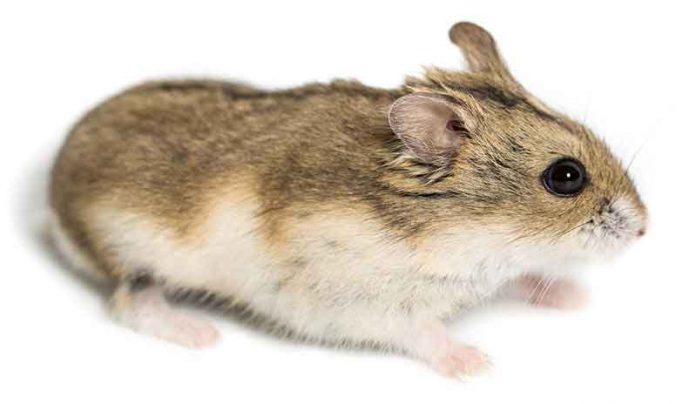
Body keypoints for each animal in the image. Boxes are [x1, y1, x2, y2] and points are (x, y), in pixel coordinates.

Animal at [49, 22, 647, 378]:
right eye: (566, 176)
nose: (644, 229)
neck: (460, 226)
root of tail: (54, 187)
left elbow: (524, 275)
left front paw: (573, 297)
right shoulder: (358, 304)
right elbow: (421, 331)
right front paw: (475, 364)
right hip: (132, 254)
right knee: (131, 301)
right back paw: (198, 334)